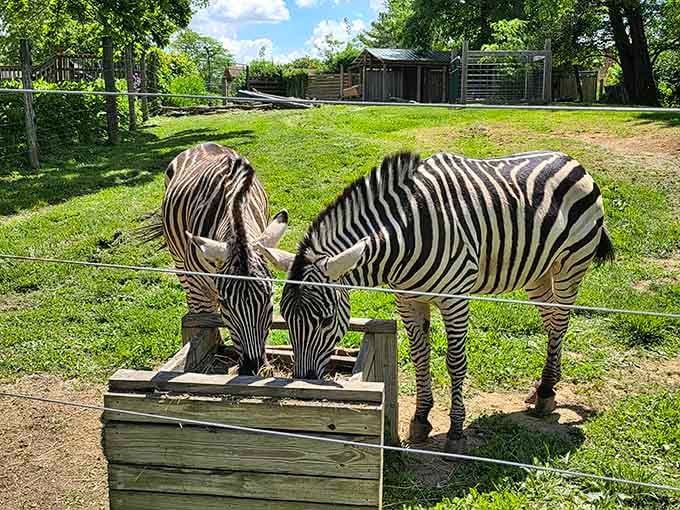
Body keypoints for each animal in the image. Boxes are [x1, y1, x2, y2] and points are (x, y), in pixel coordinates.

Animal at [147, 142, 289, 375]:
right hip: (180, 263)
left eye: (270, 300)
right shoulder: (198, 285)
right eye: (225, 304)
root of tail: (204, 145)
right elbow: (204, 324)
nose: (251, 368)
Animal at [257, 150, 614, 453]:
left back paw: (547, 394)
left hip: (571, 265)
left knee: (560, 323)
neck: (403, 236)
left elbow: (455, 362)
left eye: (327, 320)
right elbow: (419, 357)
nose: (304, 387)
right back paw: (542, 388)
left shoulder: (455, 300)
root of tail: (571, 159)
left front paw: (455, 433)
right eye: (285, 318)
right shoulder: (407, 299)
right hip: (538, 272)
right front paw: (420, 420)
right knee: (551, 321)